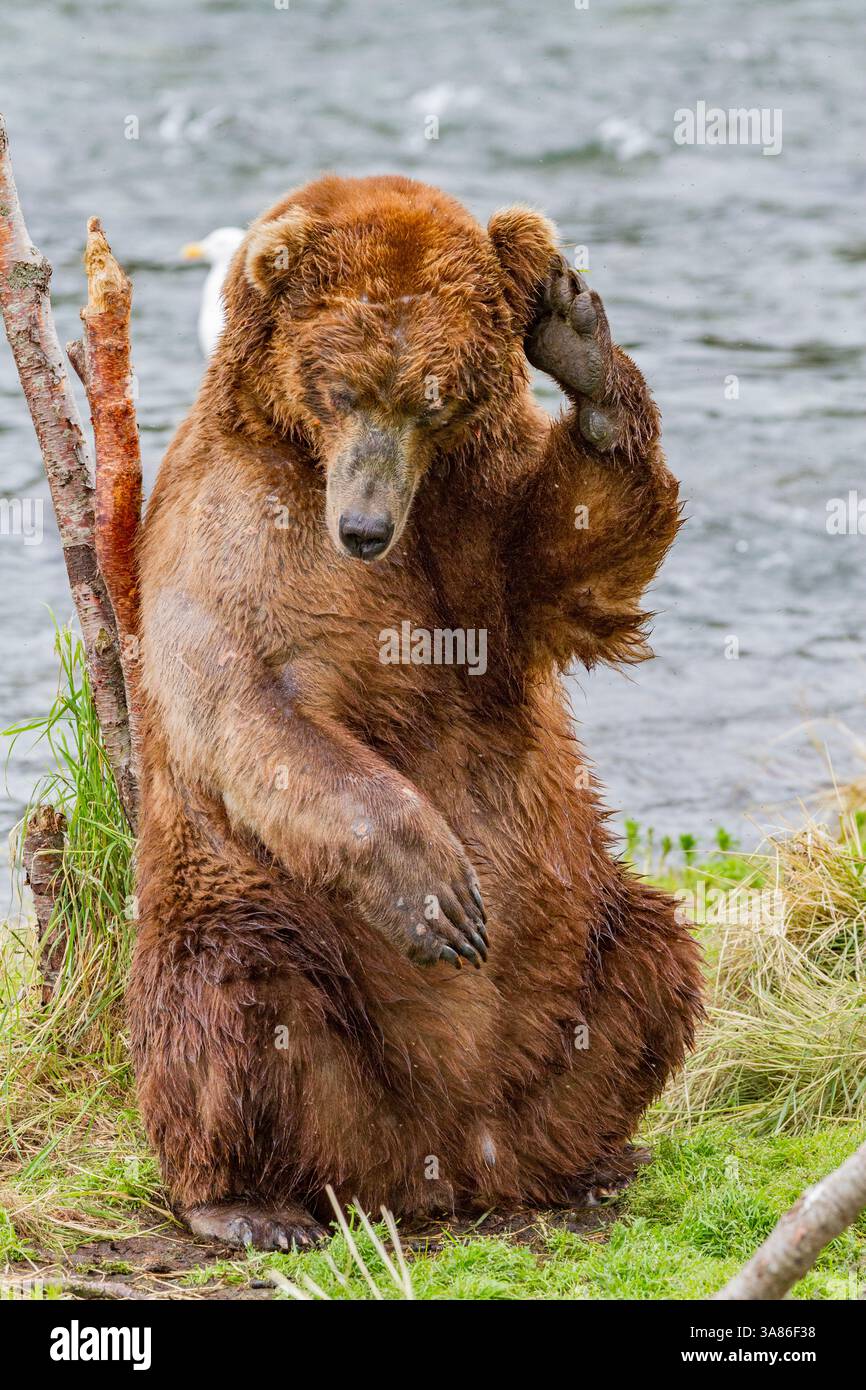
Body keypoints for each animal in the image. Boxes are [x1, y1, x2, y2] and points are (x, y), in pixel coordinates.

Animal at [129, 173, 703, 1251]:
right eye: (341, 389)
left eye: (433, 399)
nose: (362, 527)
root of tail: (448, 1162)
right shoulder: (233, 526)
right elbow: (247, 706)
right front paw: (438, 892)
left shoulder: (471, 524)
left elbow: (578, 552)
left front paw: (577, 336)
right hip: (271, 931)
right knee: (229, 998)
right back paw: (247, 1202)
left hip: (579, 942)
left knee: (653, 954)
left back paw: (594, 1159)